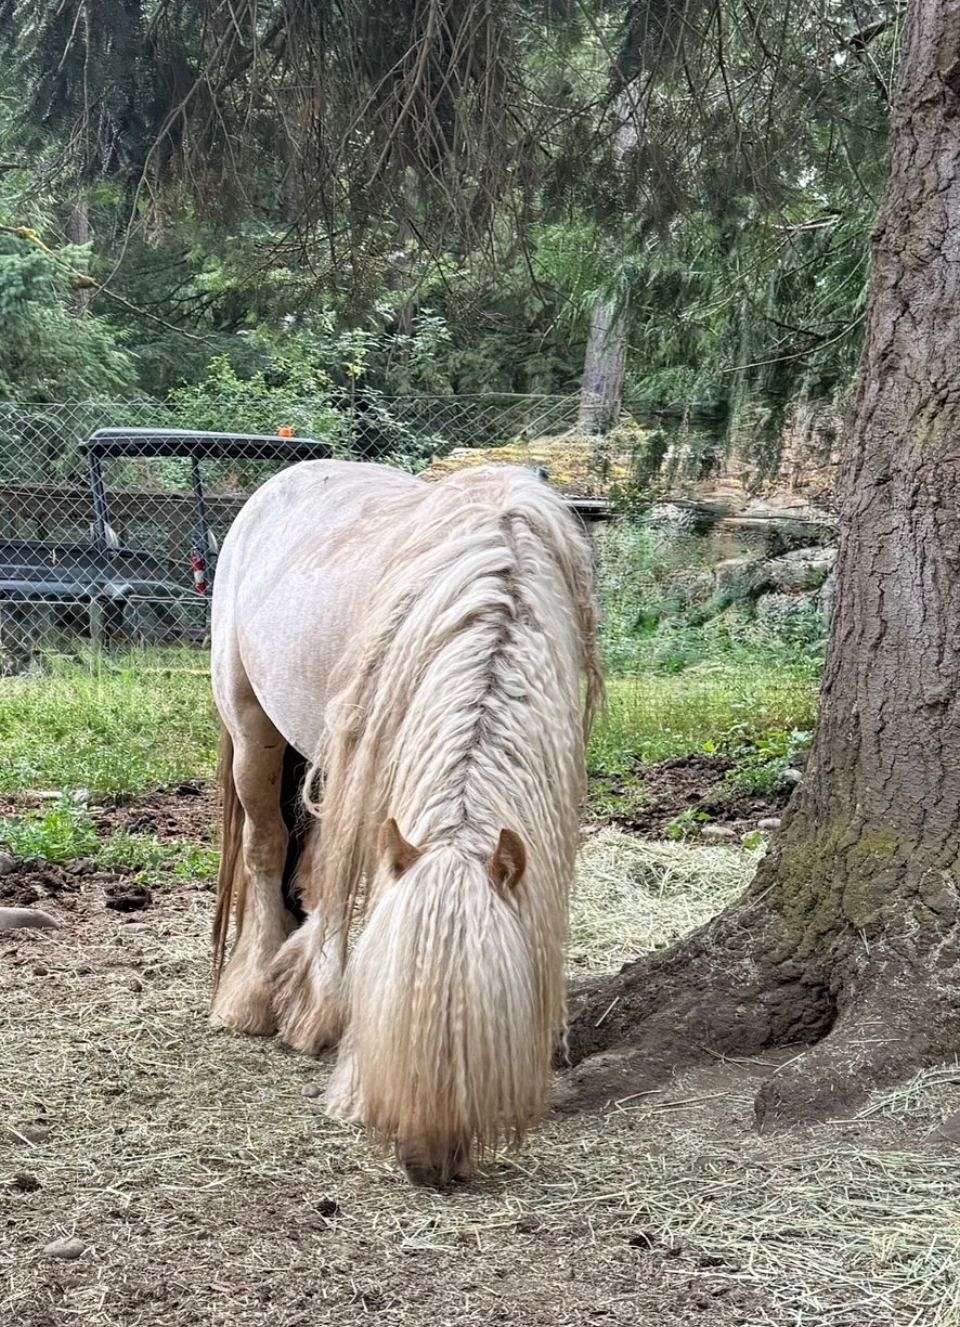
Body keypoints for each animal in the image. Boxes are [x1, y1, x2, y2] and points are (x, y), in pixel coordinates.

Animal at [209, 460, 602, 1184]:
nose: (427, 1164)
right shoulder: (363, 778)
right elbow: (337, 888)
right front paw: (318, 1015)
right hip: (251, 726)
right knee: (267, 847)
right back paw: (250, 997)